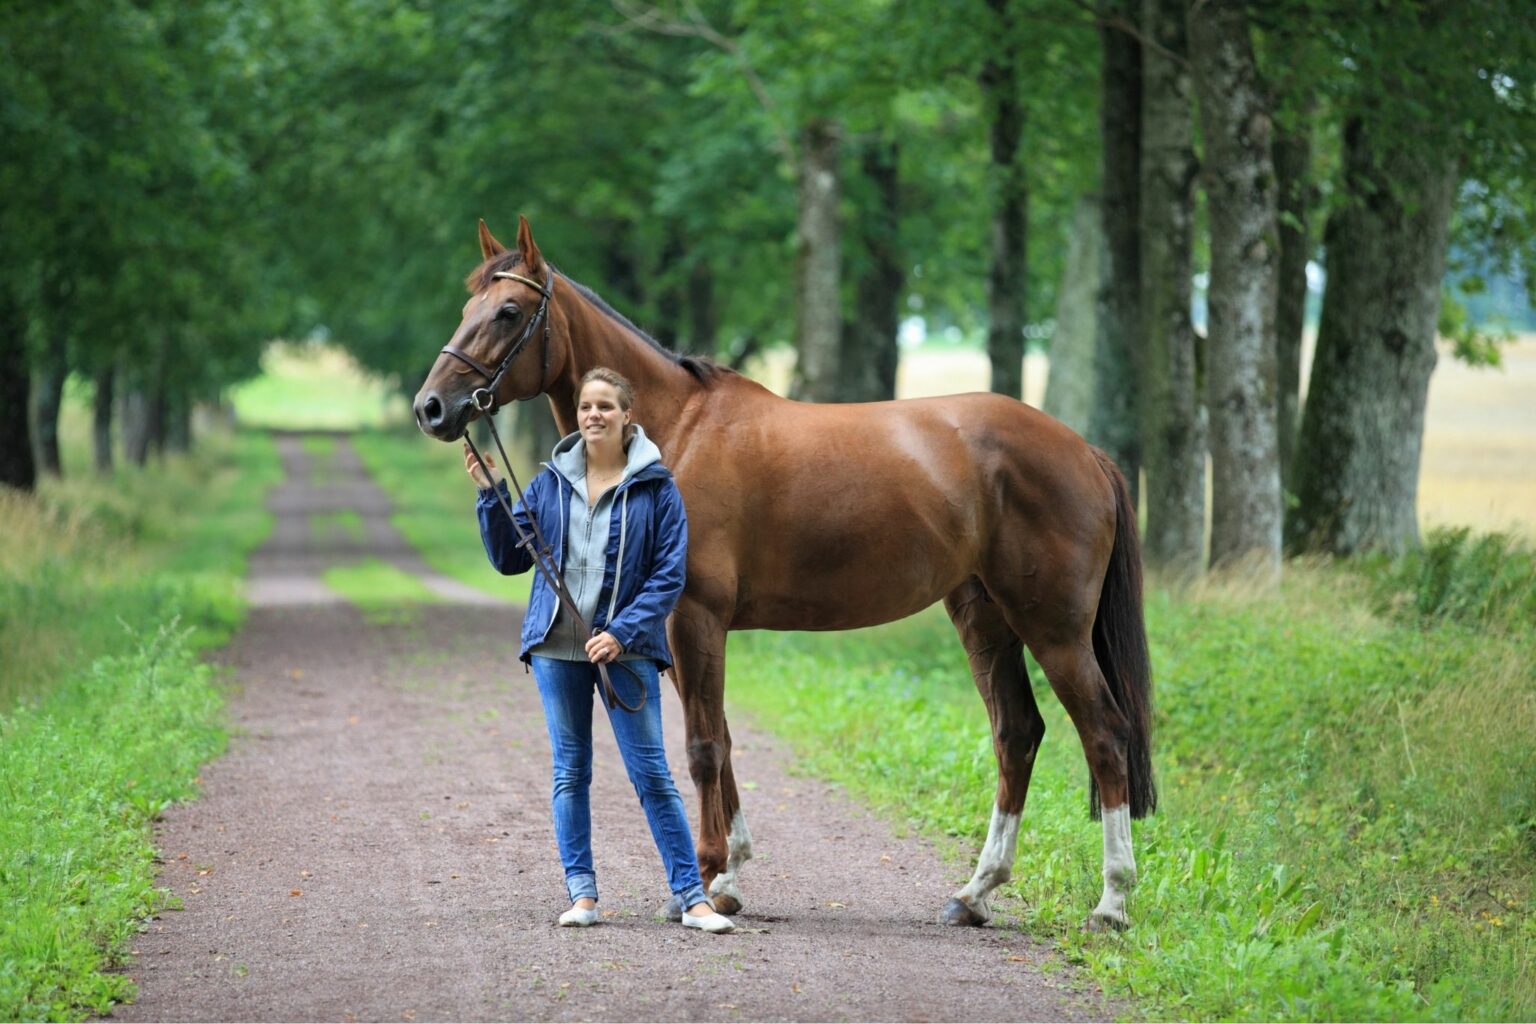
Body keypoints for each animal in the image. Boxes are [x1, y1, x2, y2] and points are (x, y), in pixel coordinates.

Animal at [413, 217, 1156, 931]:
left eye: (508, 311)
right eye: (467, 307)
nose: (432, 408)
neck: (677, 431)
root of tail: (1085, 451)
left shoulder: (693, 619)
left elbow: (702, 747)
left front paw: (704, 883)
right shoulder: (676, 631)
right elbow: (723, 740)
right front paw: (728, 879)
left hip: (1054, 627)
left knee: (1104, 734)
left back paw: (1112, 903)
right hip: (985, 618)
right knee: (1017, 733)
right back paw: (975, 894)